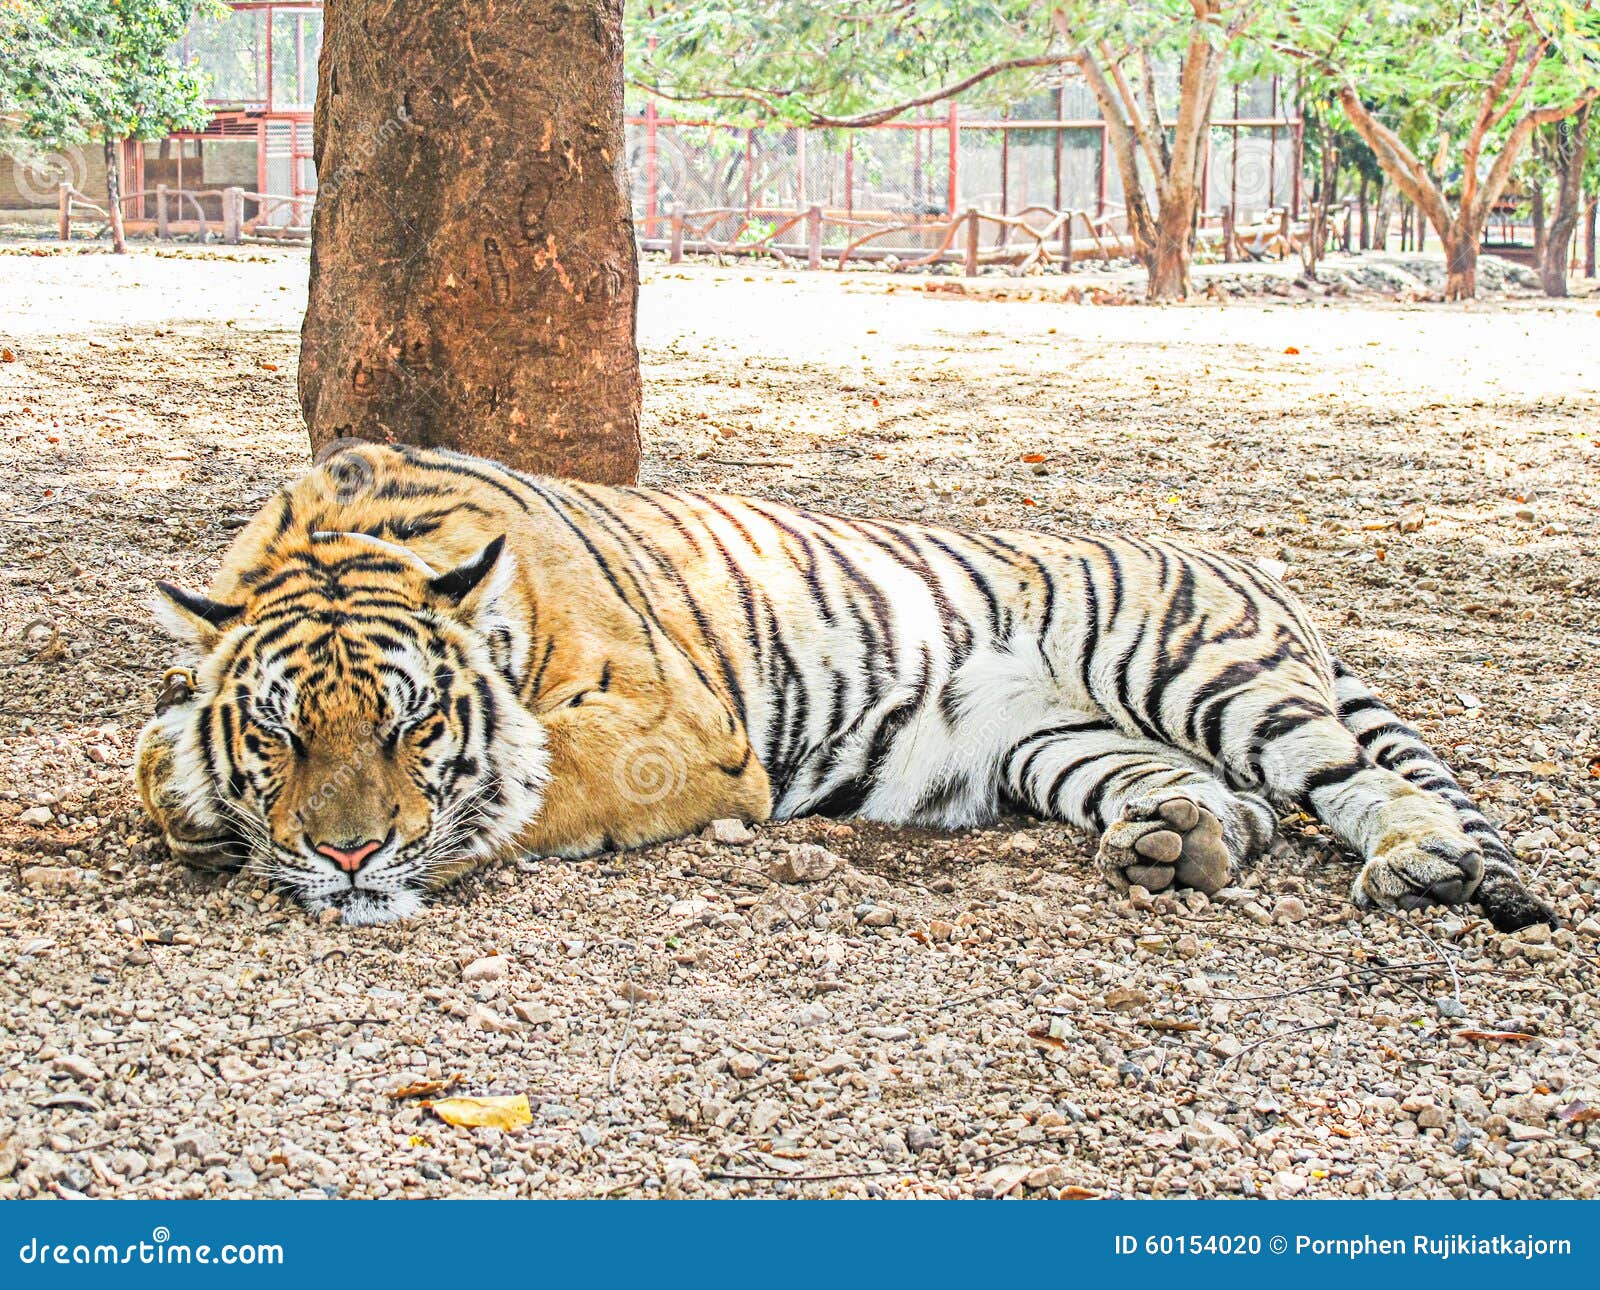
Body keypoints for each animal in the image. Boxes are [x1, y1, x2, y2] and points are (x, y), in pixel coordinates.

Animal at [135, 441, 1553, 931]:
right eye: (279, 736)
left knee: (1354, 781)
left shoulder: (678, 729)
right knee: (1232, 802)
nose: (352, 856)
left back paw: (1421, 863)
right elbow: (159, 761)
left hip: (1194, 663)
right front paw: (207, 806)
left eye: (414, 724)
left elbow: (539, 777)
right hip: (1062, 745)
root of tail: (1235, 557)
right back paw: (1176, 846)